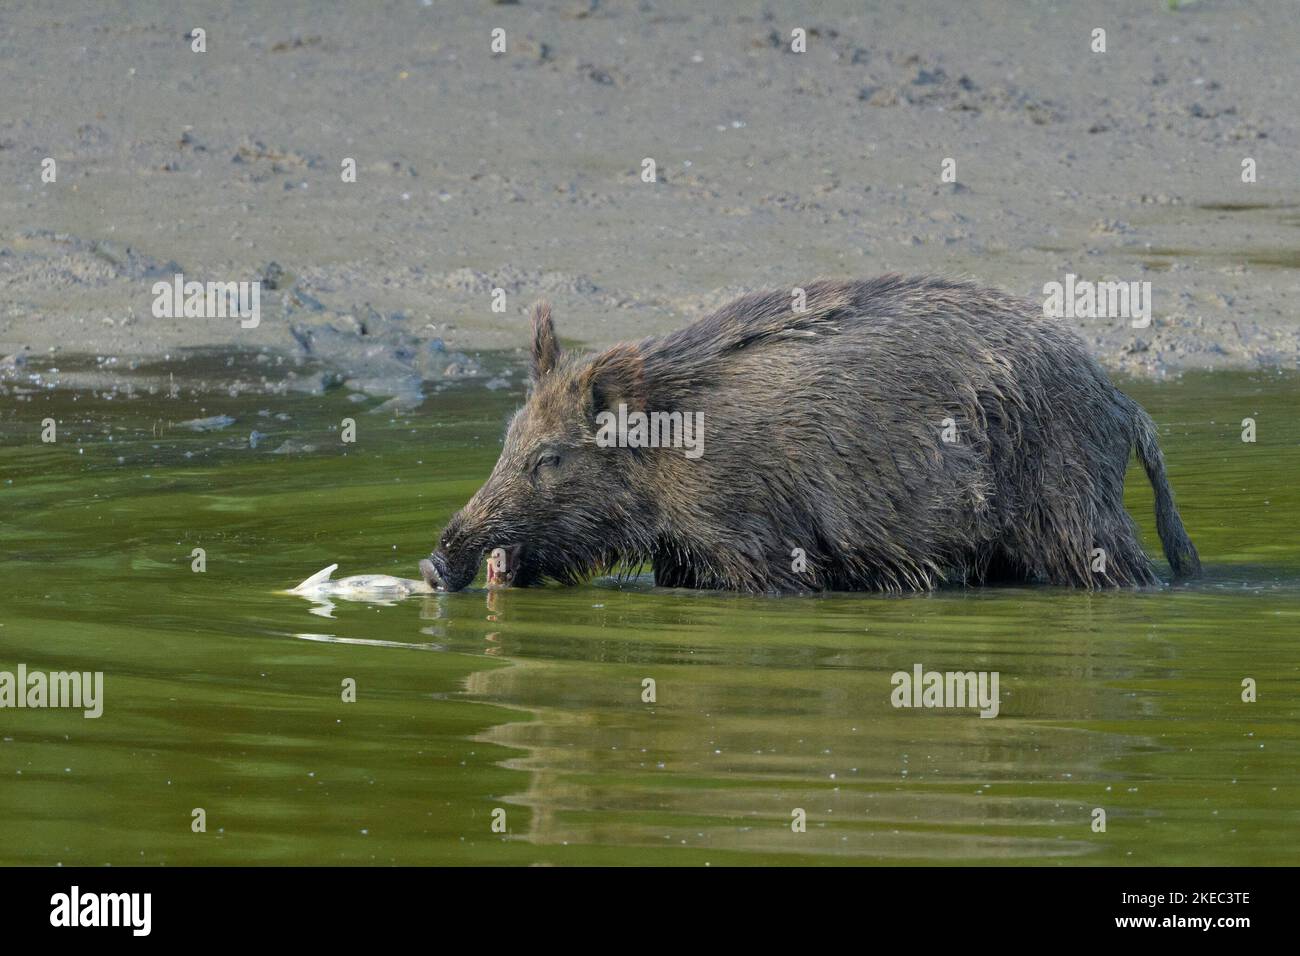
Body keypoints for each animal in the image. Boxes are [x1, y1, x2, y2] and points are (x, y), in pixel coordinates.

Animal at [421, 275, 1200, 593]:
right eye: (506, 441)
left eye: (550, 458)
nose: (433, 563)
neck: (667, 463)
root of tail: (1120, 400)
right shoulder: (682, 556)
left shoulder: (759, 545)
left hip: (1079, 519)